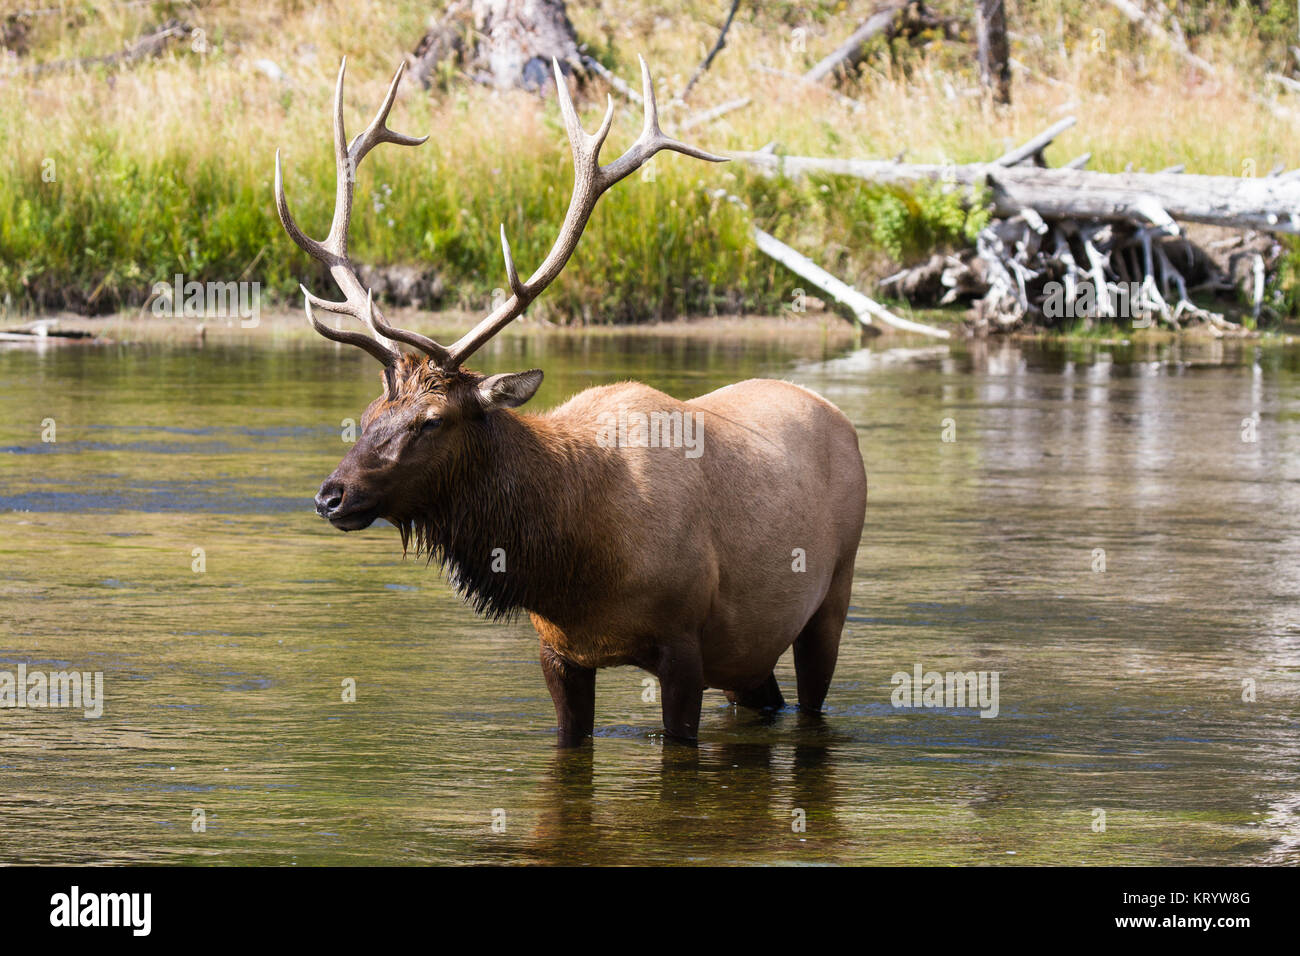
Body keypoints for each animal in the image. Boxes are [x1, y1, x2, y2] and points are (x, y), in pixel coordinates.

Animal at [274, 57, 867, 746]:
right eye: (369, 417)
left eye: (431, 421)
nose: (330, 495)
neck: (576, 559)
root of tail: (840, 419)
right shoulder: (557, 650)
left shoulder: (685, 641)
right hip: (748, 652)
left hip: (831, 598)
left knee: (814, 693)